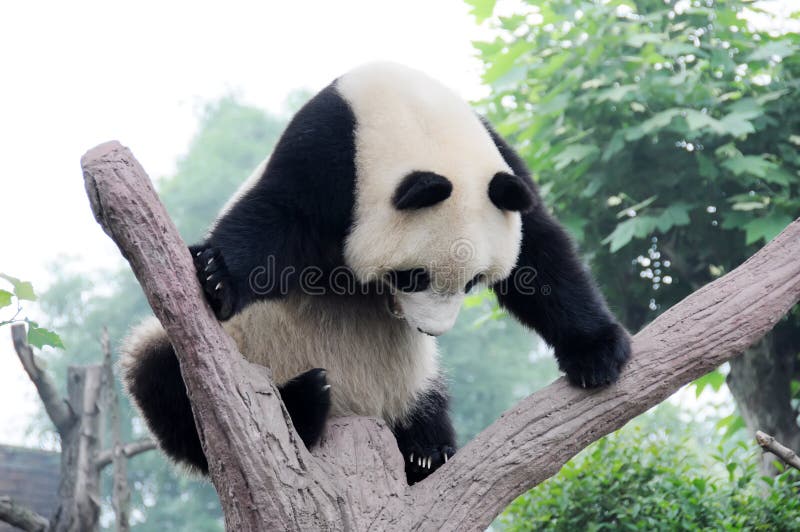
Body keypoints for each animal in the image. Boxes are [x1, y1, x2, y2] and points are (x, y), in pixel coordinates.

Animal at [121, 62, 631, 485]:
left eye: (472, 282)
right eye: (414, 276)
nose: (432, 330)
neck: (402, 109)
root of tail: (358, 414)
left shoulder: (501, 161)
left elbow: (540, 254)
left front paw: (597, 352)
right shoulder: (325, 151)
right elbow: (275, 219)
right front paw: (216, 275)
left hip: (413, 379)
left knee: (427, 401)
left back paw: (425, 452)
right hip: (239, 352)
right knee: (162, 380)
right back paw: (305, 403)